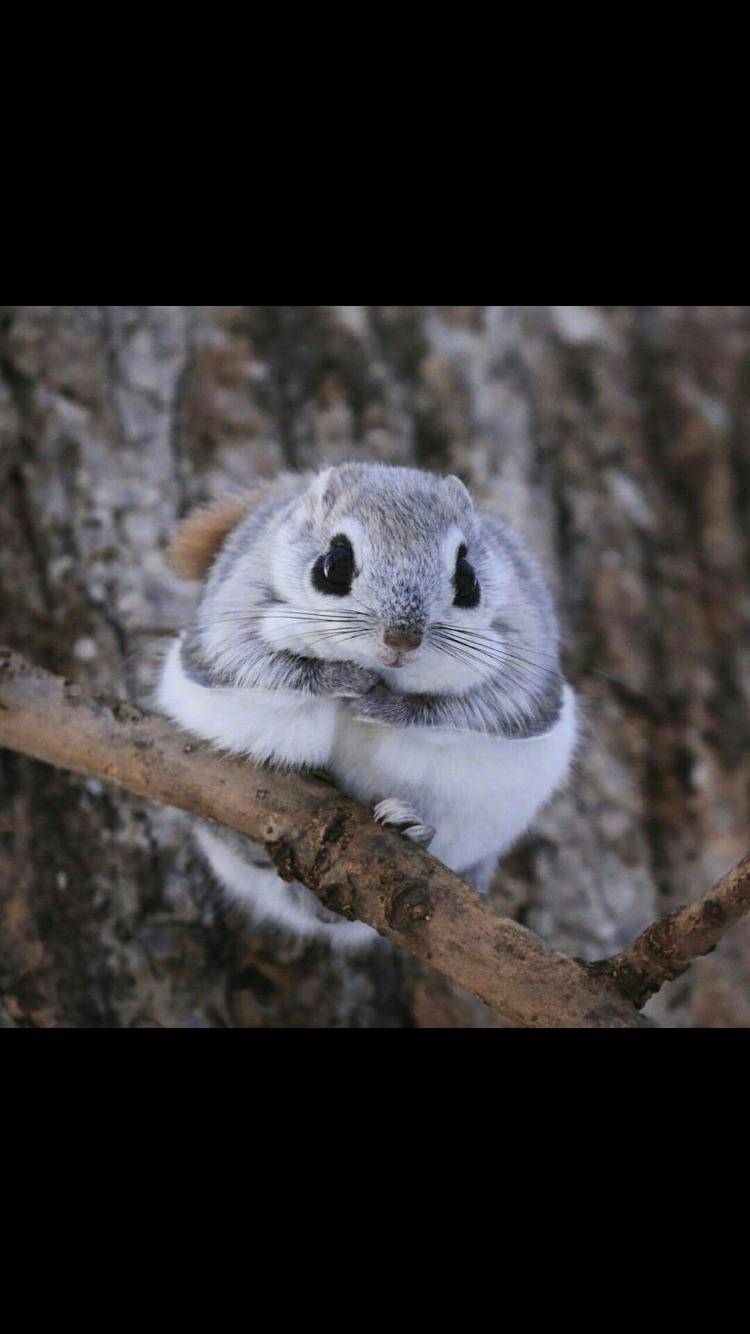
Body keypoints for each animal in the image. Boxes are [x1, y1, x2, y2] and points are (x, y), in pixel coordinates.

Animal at [157, 463, 577, 947]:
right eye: (334, 565)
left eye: (469, 577)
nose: (403, 639)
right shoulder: (233, 614)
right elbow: (265, 666)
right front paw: (345, 679)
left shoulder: (524, 662)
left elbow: (471, 708)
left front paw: (384, 705)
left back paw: (411, 828)